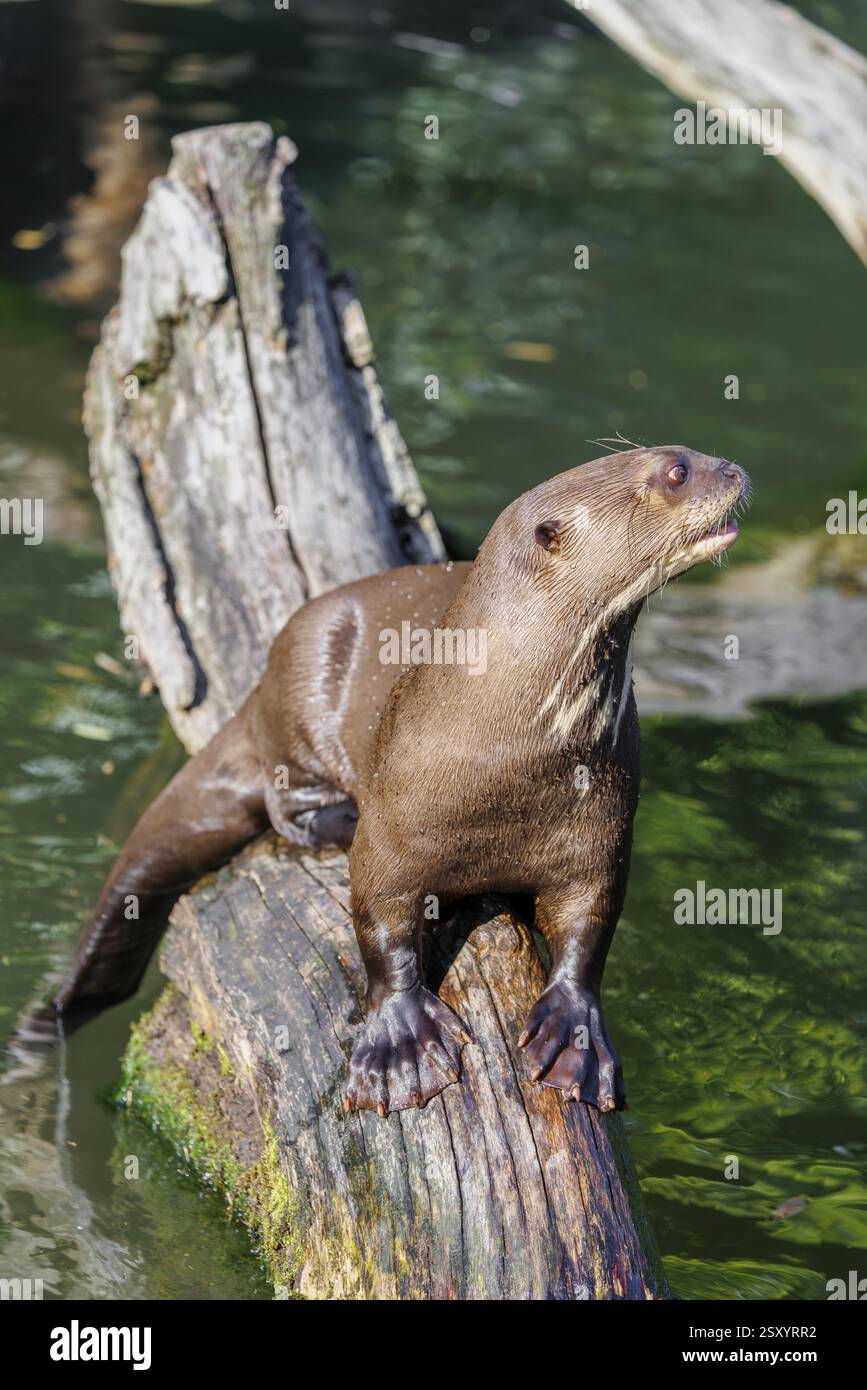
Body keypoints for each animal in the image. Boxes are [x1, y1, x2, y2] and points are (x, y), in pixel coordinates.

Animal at [38, 446, 748, 1116]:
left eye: (690, 453)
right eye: (676, 471)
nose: (735, 471)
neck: (516, 755)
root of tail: (259, 686)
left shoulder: (602, 833)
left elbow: (590, 926)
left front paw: (578, 1040)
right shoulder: (394, 836)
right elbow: (381, 924)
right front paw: (400, 1049)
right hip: (301, 683)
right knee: (281, 798)